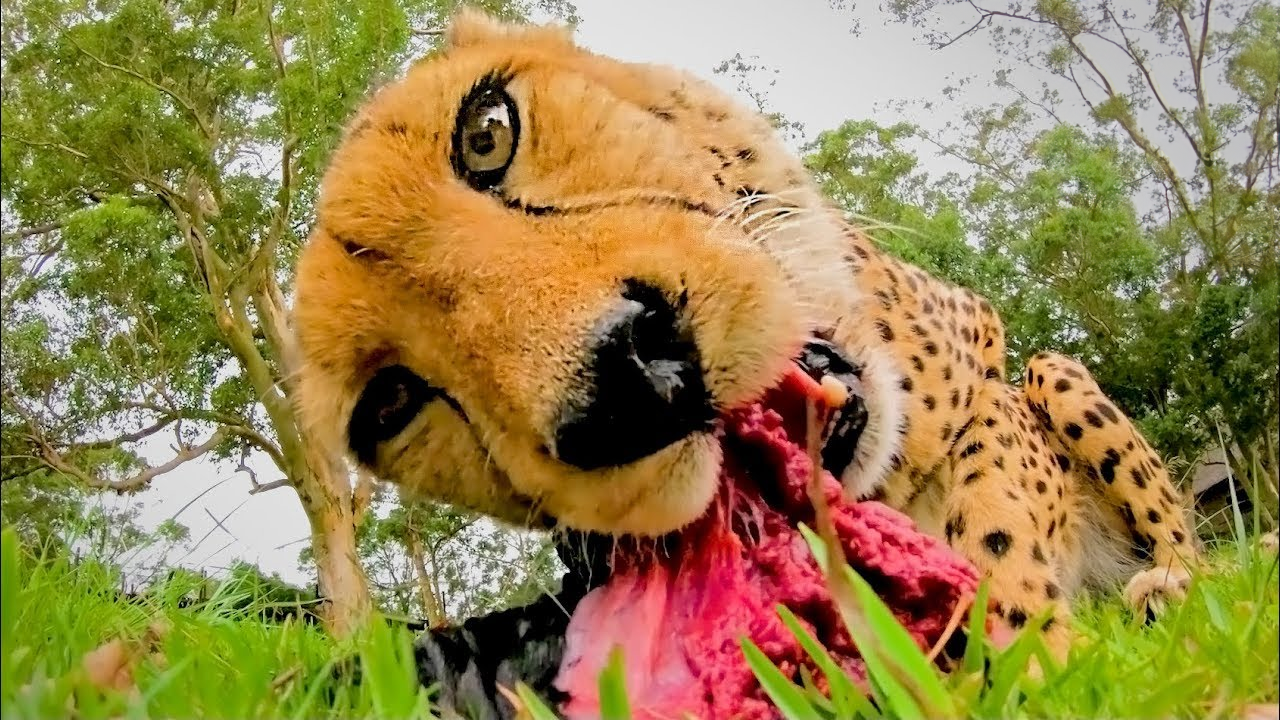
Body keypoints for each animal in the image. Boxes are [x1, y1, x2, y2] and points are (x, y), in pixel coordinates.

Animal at [288, 8, 1200, 709]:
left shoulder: (987, 354)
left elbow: (996, 505)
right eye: (390, 405)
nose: (628, 388)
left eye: (486, 133)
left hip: (1057, 372)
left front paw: (1016, 647)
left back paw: (1169, 586)